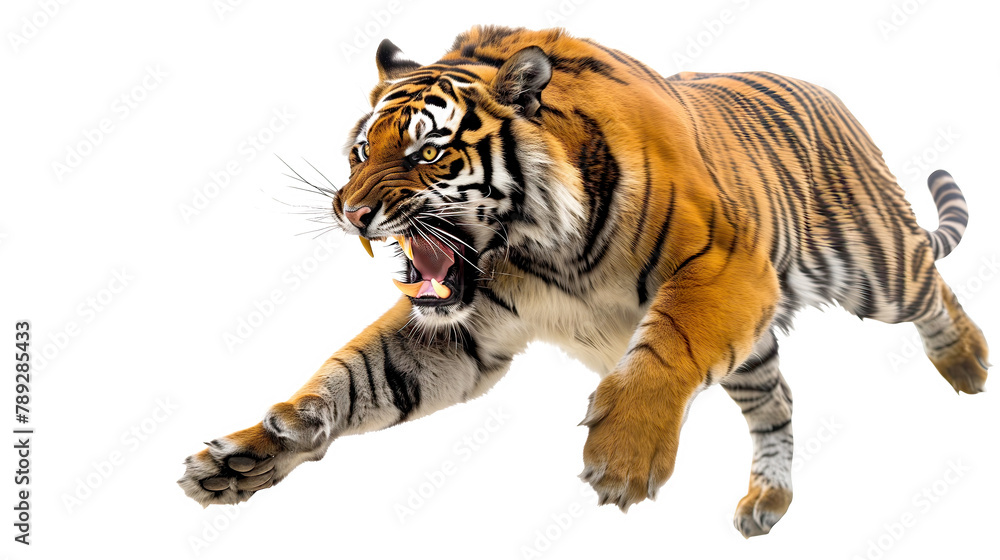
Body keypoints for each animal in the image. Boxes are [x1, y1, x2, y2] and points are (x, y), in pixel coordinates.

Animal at [178, 25, 990, 537]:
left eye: (426, 153)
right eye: (357, 153)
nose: (348, 211)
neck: (539, 250)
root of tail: (827, 90)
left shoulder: (722, 264)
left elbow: (666, 347)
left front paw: (623, 458)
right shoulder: (466, 330)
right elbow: (355, 378)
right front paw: (246, 455)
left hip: (871, 264)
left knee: (932, 287)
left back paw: (968, 363)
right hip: (754, 351)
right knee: (778, 401)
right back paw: (768, 498)